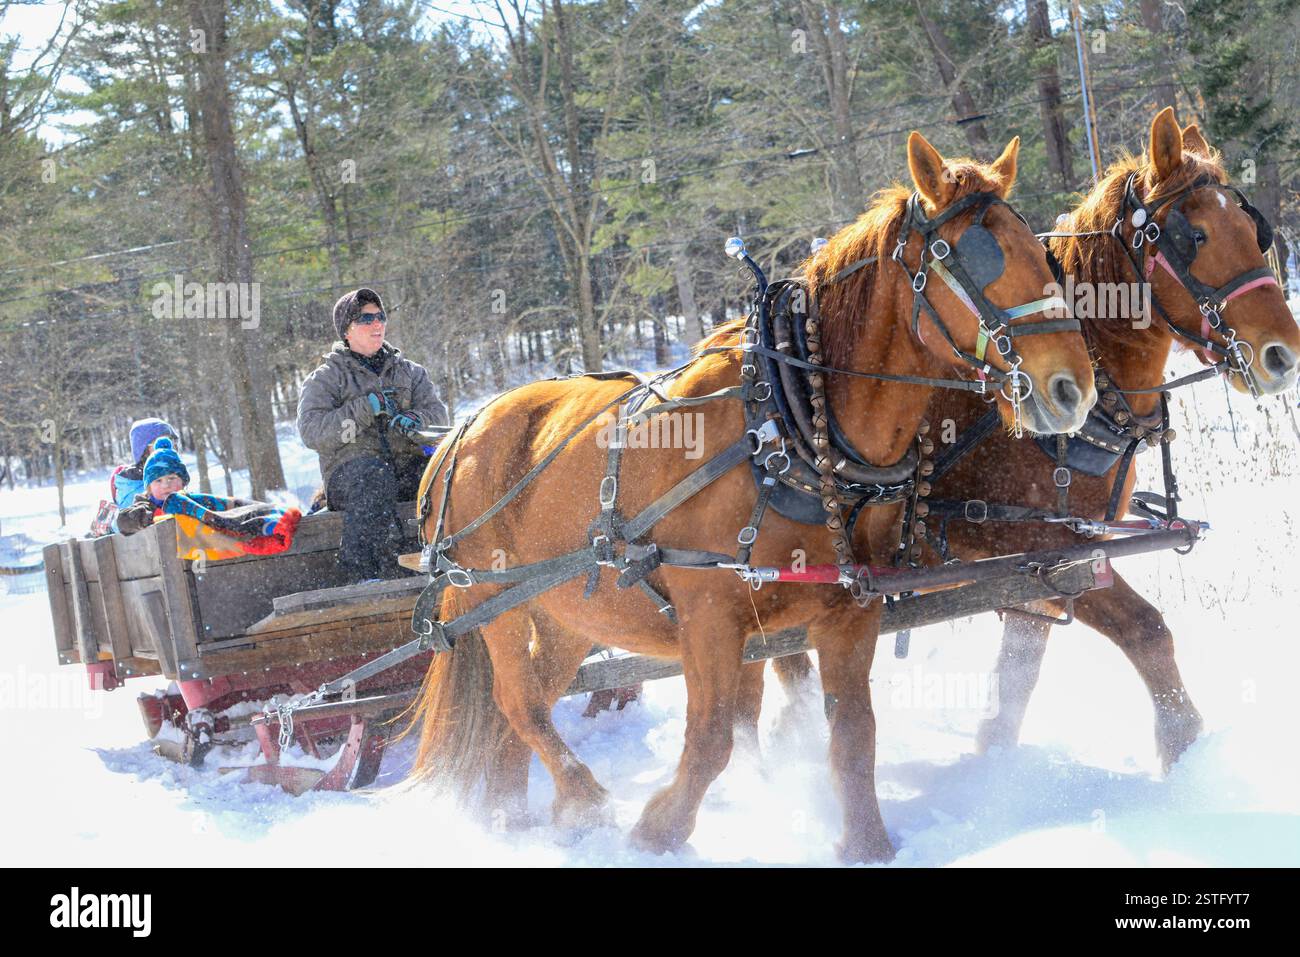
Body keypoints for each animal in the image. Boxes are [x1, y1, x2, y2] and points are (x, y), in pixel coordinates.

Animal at [406, 130, 1096, 863]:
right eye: (968, 255)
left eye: (1041, 251)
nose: (1072, 388)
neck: (784, 426)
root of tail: (458, 434)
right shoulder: (709, 609)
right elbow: (712, 737)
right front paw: (659, 829)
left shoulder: (850, 608)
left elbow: (854, 732)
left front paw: (867, 842)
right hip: (492, 598)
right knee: (518, 699)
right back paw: (580, 795)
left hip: (568, 611)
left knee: (528, 696)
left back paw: (519, 811)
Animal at [758, 108, 1300, 774]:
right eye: (1192, 236)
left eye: (1253, 231)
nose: (1283, 356)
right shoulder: (1037, 549)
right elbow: (1146, 631)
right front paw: (1184, 749)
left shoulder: (1034, 575)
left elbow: (1016, 683)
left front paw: (994, 760)